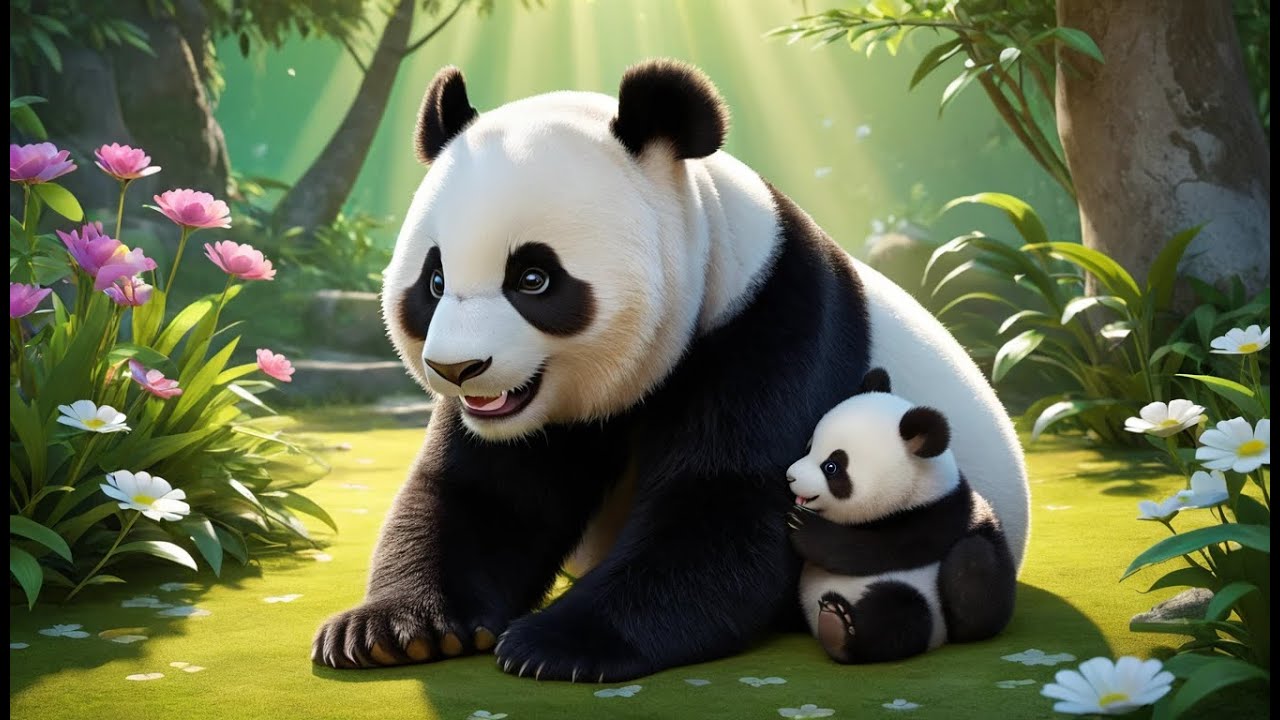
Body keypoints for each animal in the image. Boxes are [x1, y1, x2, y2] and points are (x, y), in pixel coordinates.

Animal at [787, 368, 1017, 664]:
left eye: (832, 467)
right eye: (808, 448)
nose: (790, 477)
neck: (921, 487)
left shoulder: (934, 519)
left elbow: (874, 550)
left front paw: (803, 526)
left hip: (925, 598)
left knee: (904, 611)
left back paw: (839, 631)